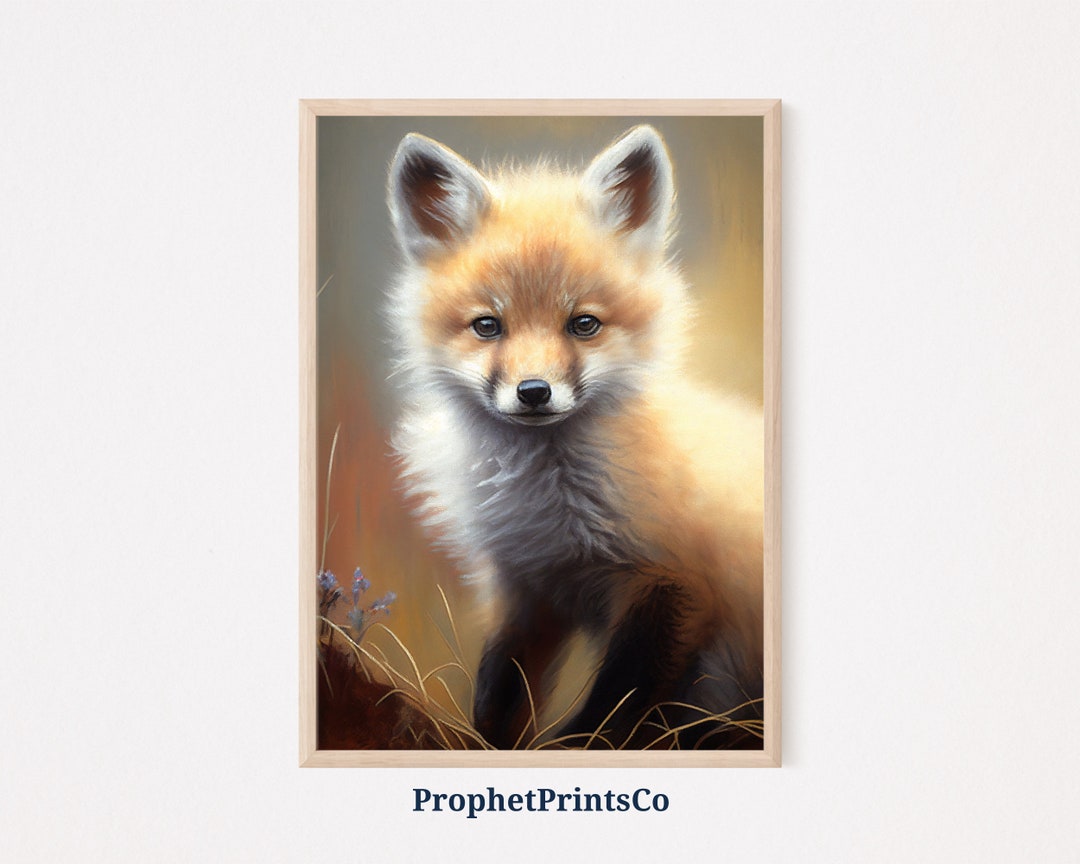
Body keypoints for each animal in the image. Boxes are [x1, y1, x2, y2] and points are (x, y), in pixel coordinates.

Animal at [385, 125, 764, 749]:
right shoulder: (524, 588)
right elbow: (500, 693)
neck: (550, 505)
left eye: (583, 324)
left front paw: (572, 746)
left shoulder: (674, 582)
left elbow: (613, 709)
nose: (534, 392)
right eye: (487, 326)